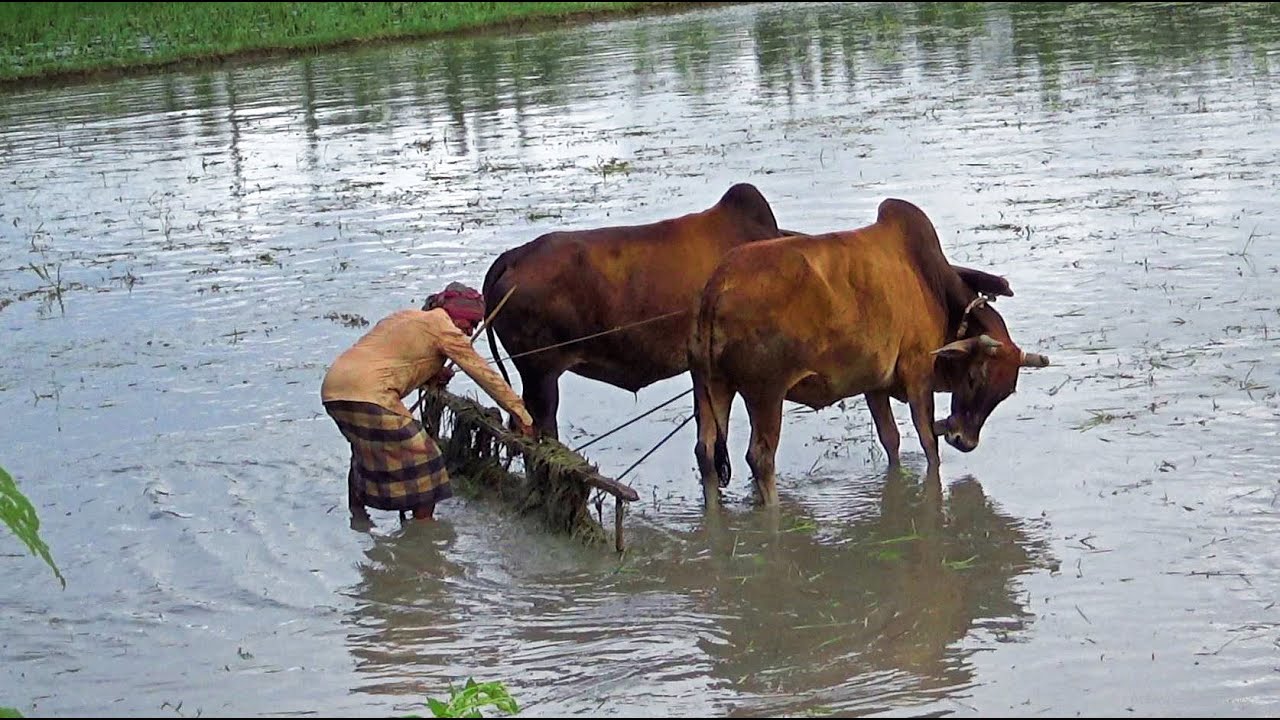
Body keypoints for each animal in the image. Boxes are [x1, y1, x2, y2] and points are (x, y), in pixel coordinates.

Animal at [688, 198, 1050, 507]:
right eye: (974, 378)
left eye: (1003, 393)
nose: (964, 440)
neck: (931, 283)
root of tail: (718, 286)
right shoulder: (918, 374)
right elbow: (928, 444)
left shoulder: (874, 385)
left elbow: (891, 440)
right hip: (766, 393)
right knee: (760, 458)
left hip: (708, 387)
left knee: (706, 452)